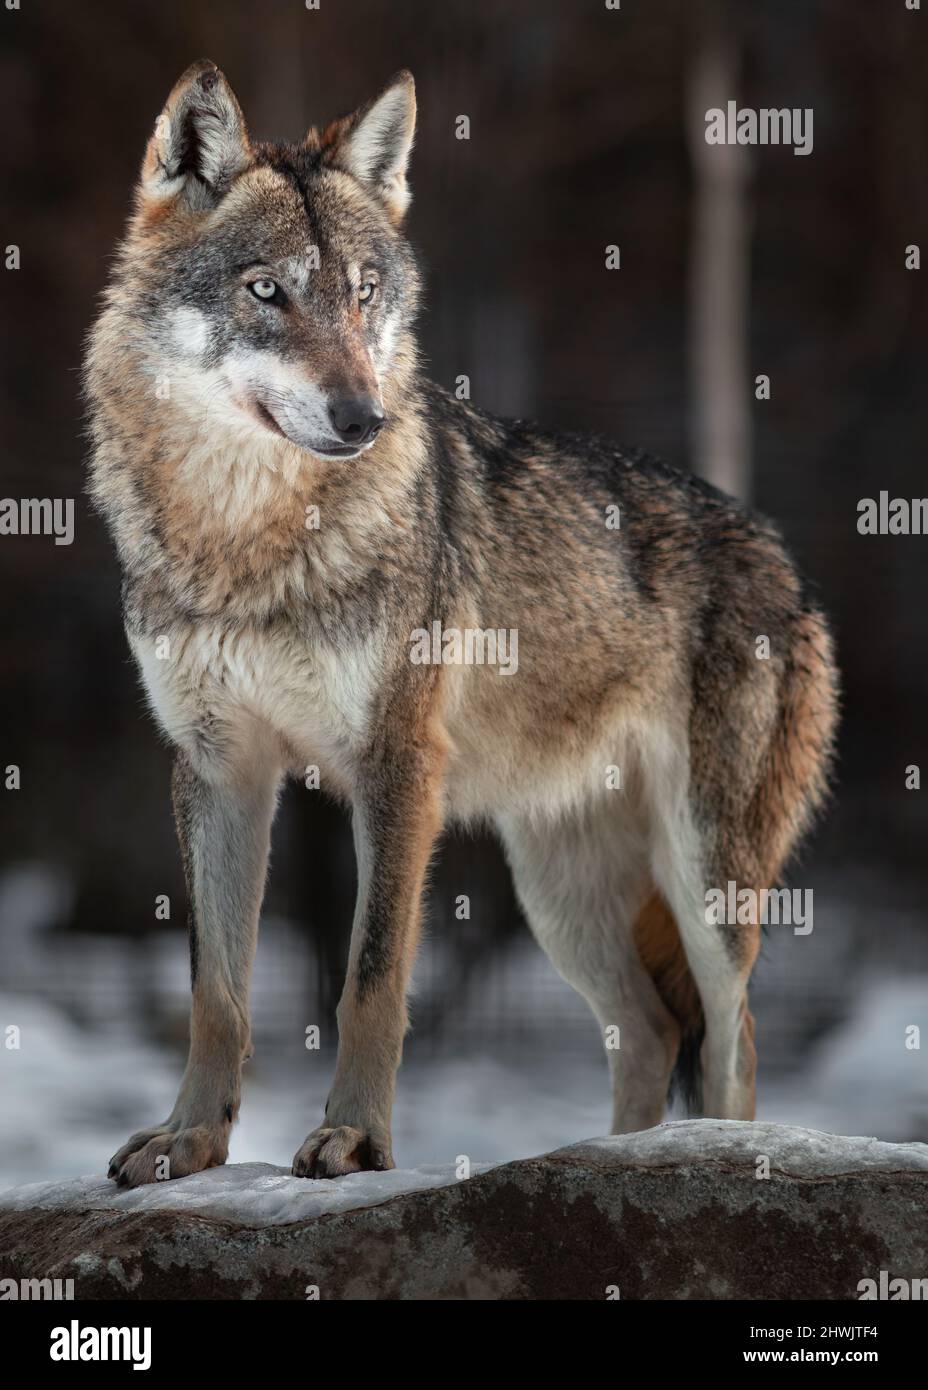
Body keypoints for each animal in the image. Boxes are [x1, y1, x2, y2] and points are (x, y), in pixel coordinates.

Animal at [86, 61, 838, 1186]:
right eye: (267, 291)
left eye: (363, 293)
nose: (362, 418)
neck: (248, 540)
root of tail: (784, 557)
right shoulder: (219, 768)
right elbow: (215, 991)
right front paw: (192, 1141)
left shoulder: (397, 763)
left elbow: (369, 979)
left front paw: (356, 1141)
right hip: (558, 890)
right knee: (653, 1030)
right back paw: (612, 1164)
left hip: (704, 876)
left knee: (732, 1034)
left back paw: (715, 1153)